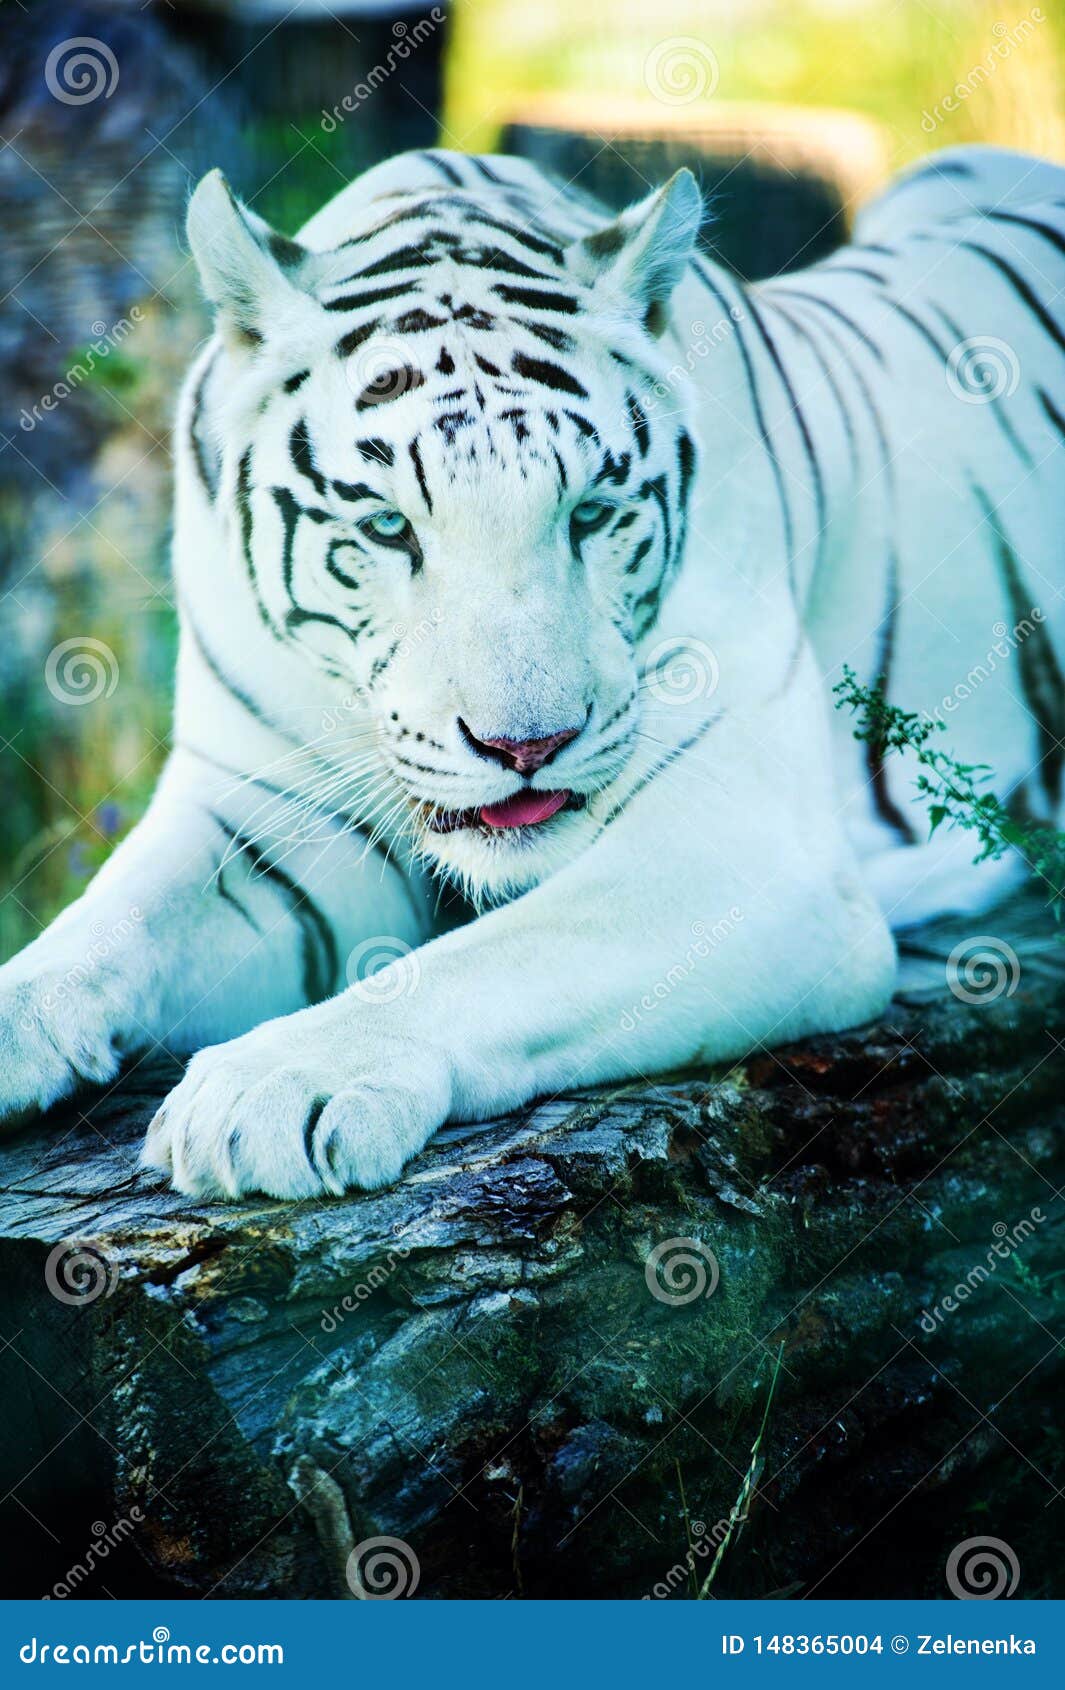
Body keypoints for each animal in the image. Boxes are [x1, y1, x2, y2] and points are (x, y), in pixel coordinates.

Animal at [1, 142, 1063, 1200]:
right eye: (387, 526)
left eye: (588, 513)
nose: (527, 747)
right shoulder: (265, 815)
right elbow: (114, 920)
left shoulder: (752, 851)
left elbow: (477, 964)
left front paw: (271, 1085)